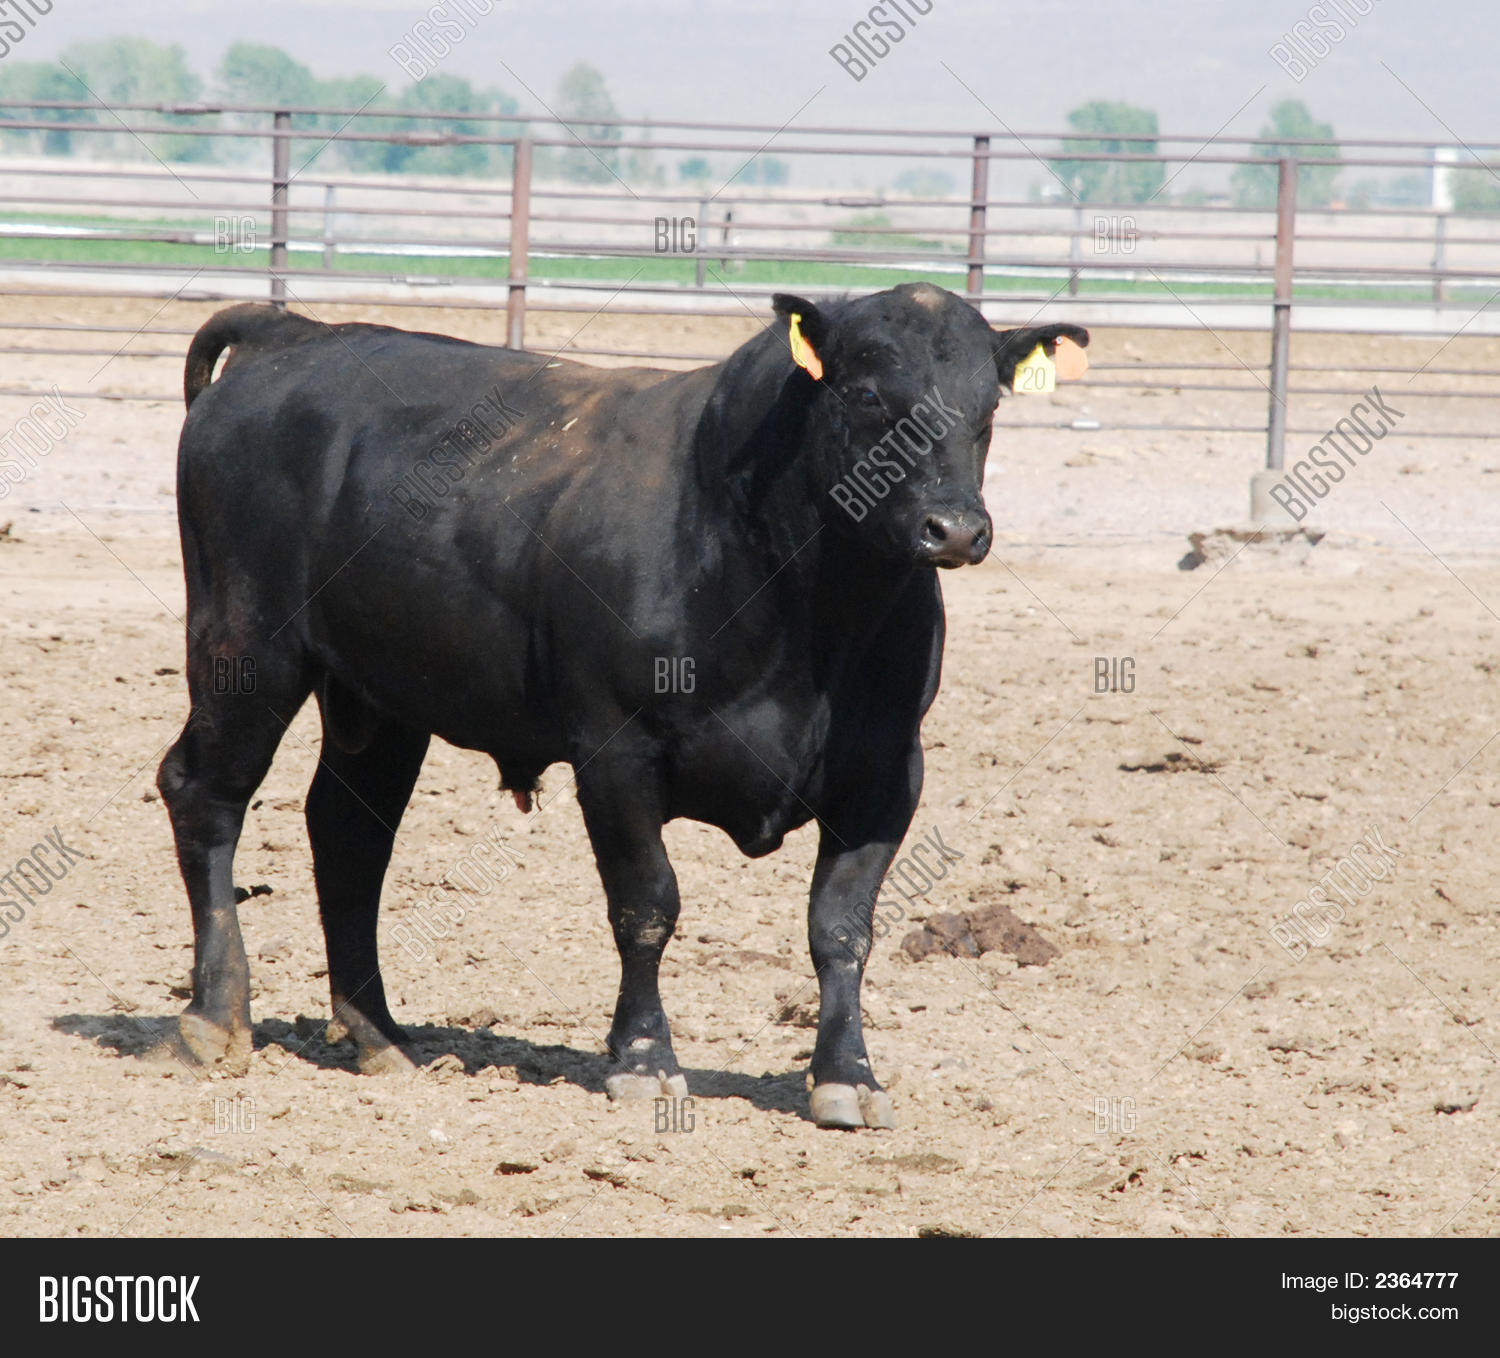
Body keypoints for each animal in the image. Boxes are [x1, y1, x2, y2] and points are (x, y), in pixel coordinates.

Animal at [157, 282, 1087, 1128]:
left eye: (987, 405)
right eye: (865, 395)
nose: (954, 529)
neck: (807, 615)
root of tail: (295, 333)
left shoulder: (888, 771)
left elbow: (842, 926)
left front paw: (848, 1077)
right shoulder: (616, 749)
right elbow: (647, 906)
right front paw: (645, 1058)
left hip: (380, 700)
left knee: (350, 833)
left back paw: (379, 1033)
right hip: (246, 646)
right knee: (204, 792)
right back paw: (216, 1014)